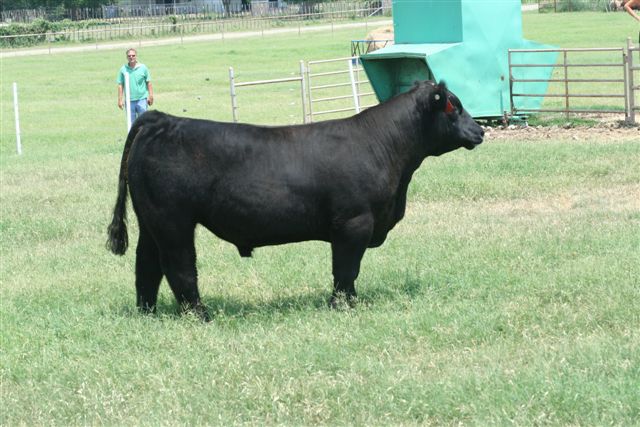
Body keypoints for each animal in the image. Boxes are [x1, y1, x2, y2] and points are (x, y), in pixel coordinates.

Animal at [107, 81, 484, 319]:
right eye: (454, 107)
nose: (480, 130)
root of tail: (162, 120)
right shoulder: (354, 223)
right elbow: (346, 269)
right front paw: (342, 306)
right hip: (174, 222)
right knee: (179, 267)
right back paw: (201, 315)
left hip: (151, 222)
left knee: (146, 265)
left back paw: (147, 313)